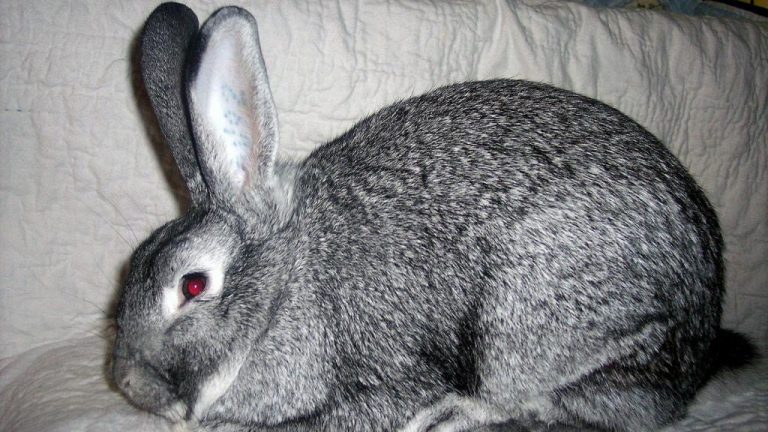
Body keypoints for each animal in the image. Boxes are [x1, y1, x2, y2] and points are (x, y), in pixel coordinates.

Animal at [112, 3, 755, 432]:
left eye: (194, 285)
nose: (126, 383)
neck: (289, 283)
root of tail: (701, 331)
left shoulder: (385, 378)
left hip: (528, 323)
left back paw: (452, 414)